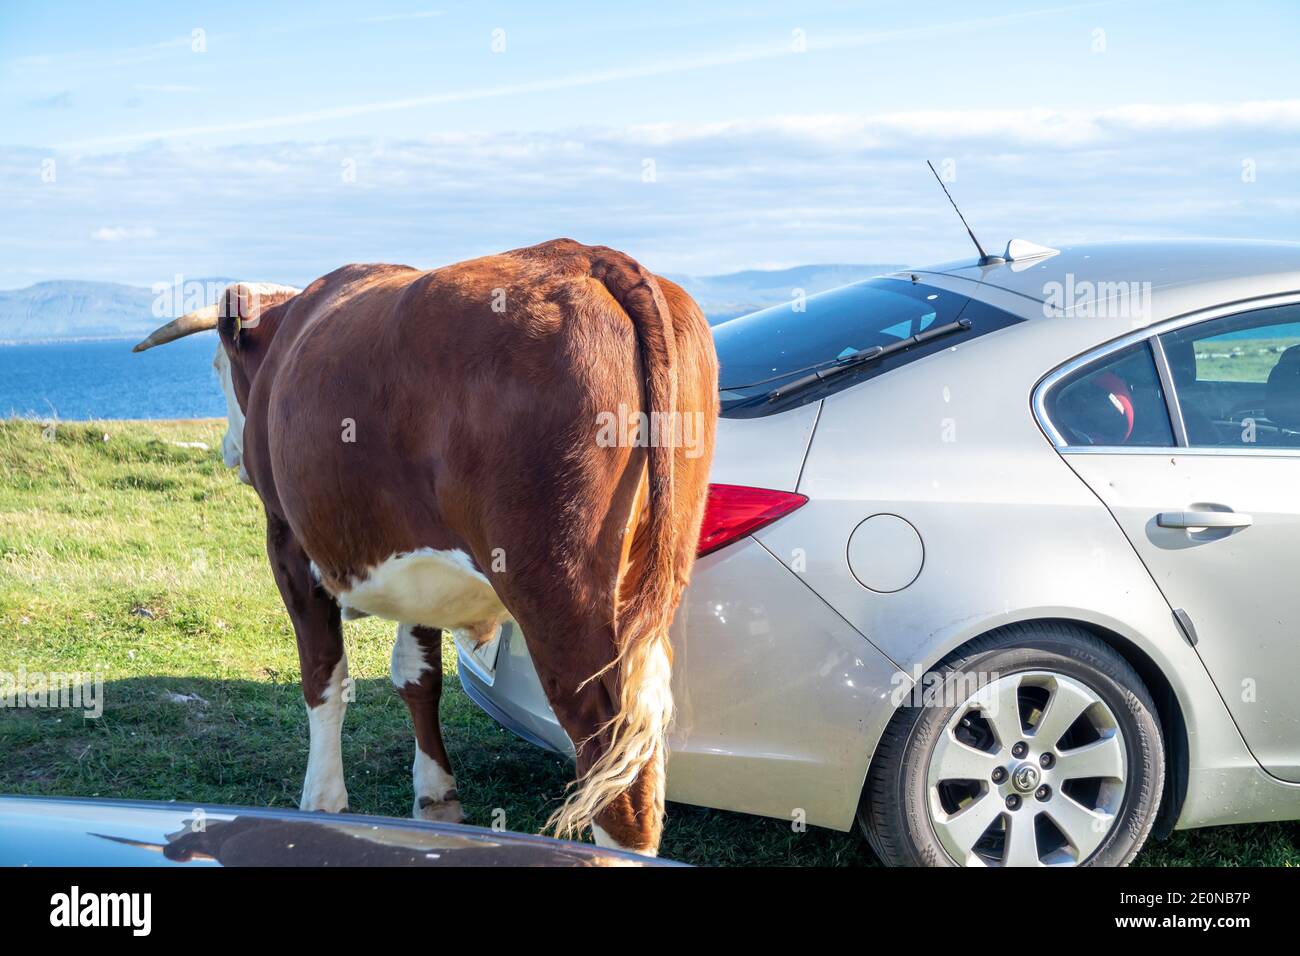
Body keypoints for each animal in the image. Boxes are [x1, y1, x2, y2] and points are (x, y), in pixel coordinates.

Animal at [133, 239, 718, 856]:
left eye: (217, 367)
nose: (228, 449)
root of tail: (590, 257)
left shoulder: (287, 541)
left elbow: (323, 676)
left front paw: (321, 802)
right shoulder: (423, 562)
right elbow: (418, 677)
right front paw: (436, 798)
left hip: (562, 592)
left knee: (611, 763)